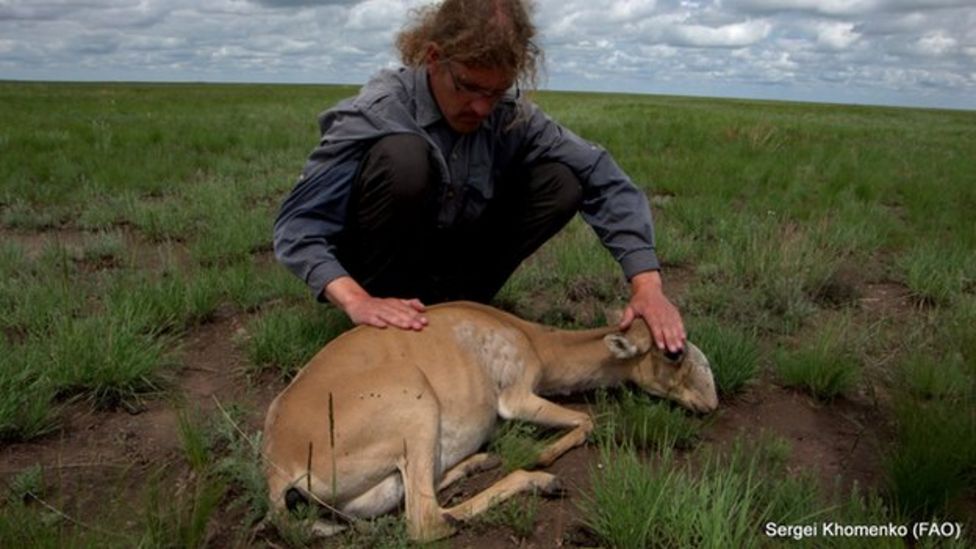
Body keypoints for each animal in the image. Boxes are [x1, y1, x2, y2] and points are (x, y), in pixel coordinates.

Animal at [262, 301, 718, 542]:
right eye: (674, 352)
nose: (711, 404)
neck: (529, 337)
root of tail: (279, 465)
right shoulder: (517, 398)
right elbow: (586, 421)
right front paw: (543, 457)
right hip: (418, 410)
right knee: (428, 520)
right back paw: (538, 479)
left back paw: (481, 462)